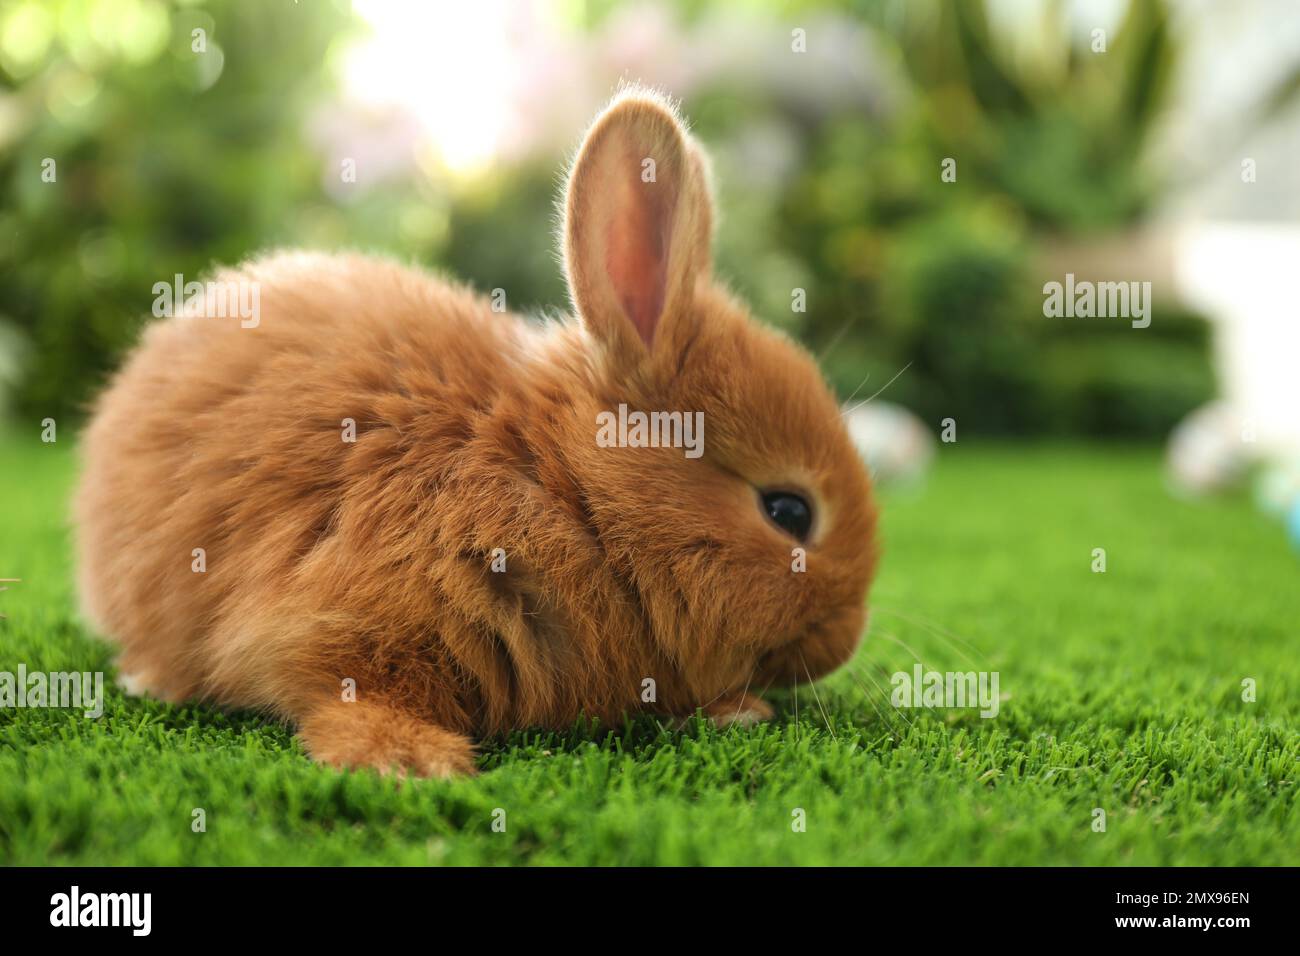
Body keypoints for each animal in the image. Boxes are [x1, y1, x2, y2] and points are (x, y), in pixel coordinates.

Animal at [74, 87, 878, 777]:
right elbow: (347, 687)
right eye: (788, 511)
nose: (847, 641)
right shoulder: (346, 617)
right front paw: (405, 761)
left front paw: (736, 710)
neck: (562, 487)